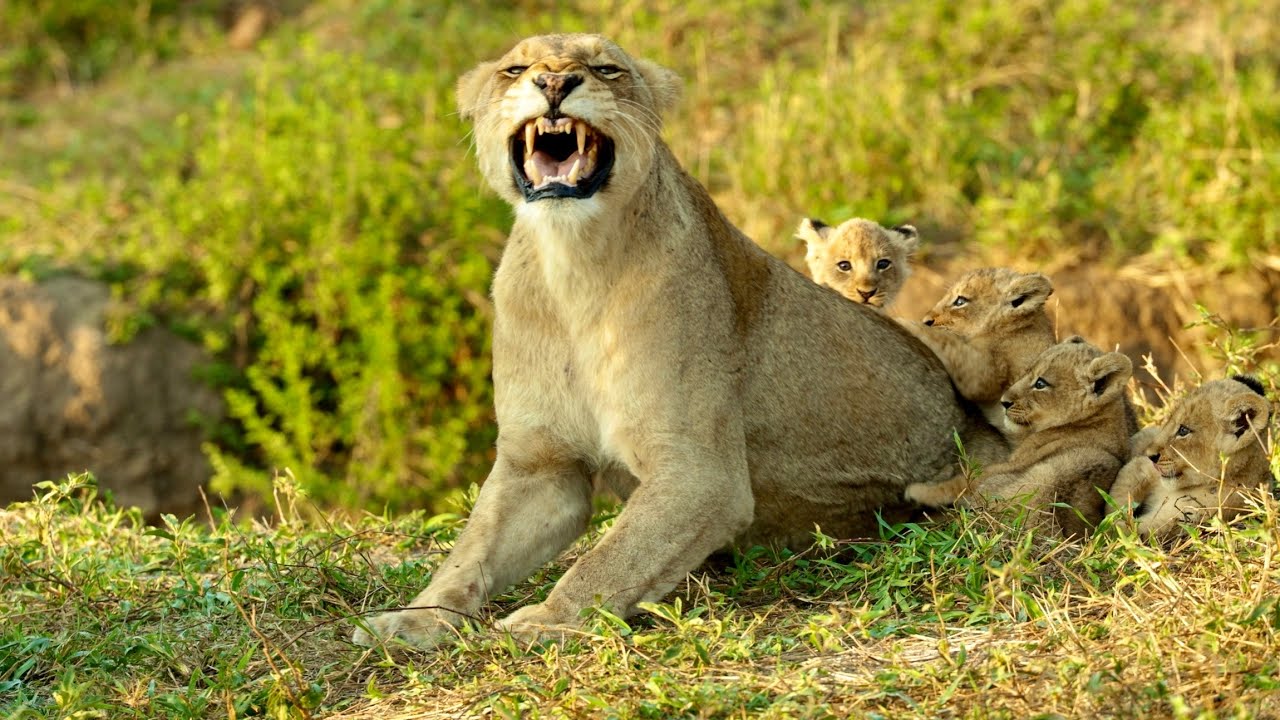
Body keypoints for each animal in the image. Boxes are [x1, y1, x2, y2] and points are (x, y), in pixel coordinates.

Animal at [351, 33, 994, 649]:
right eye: (515, 69)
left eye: (607, 69)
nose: (554, 83)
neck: (572, 264)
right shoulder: (542, 466)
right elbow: (472, 550)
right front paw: (411, 620)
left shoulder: (701, 472)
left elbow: (613, 557)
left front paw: (547, 621)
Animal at [905, 337, 1135, 537]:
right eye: (1026, 373)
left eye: (1040, 383)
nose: (1004, 402)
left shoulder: (1011, 464)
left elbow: (961, 483)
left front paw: (917, 491)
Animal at [1110, 376, 1274, 542]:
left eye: (1183, 430)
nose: (1151, 456)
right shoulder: (1142, 468)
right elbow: (1120, 494)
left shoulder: (1182, 518)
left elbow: (1126, 531)